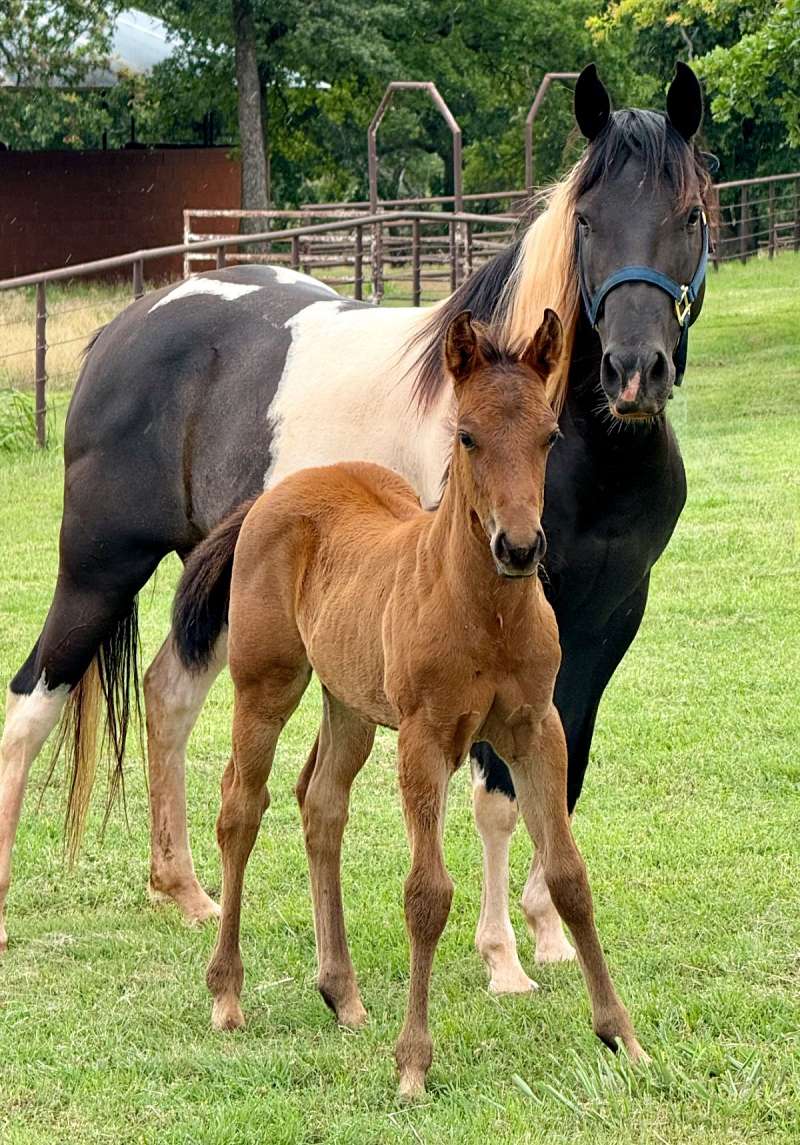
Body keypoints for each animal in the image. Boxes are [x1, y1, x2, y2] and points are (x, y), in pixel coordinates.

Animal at [0, 62, 709, 980]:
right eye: (586, 220)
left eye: (689, 214)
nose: (632, 372)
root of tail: (127, 327)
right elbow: (496, 791)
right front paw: (501, 955)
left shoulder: (607, 620)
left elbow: (562, 775)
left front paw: (548, 930)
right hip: (98, 566)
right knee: (30, 704)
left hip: (229, 587)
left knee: (168, 694)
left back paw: (186, 890)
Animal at [173, 309, 645, 1097]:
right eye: (467, 435)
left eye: (550, 435)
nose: (520, 546)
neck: (484, 613)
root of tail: (275, 494)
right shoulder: (425, 738)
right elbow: (427, 894)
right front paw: (414, 1063)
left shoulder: (534, 727)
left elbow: (569, 875)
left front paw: (622, 1035)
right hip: (267, 684)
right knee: (241, 806)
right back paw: (226, 993)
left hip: (350, 702)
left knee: (321, 802)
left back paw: (342, 992)